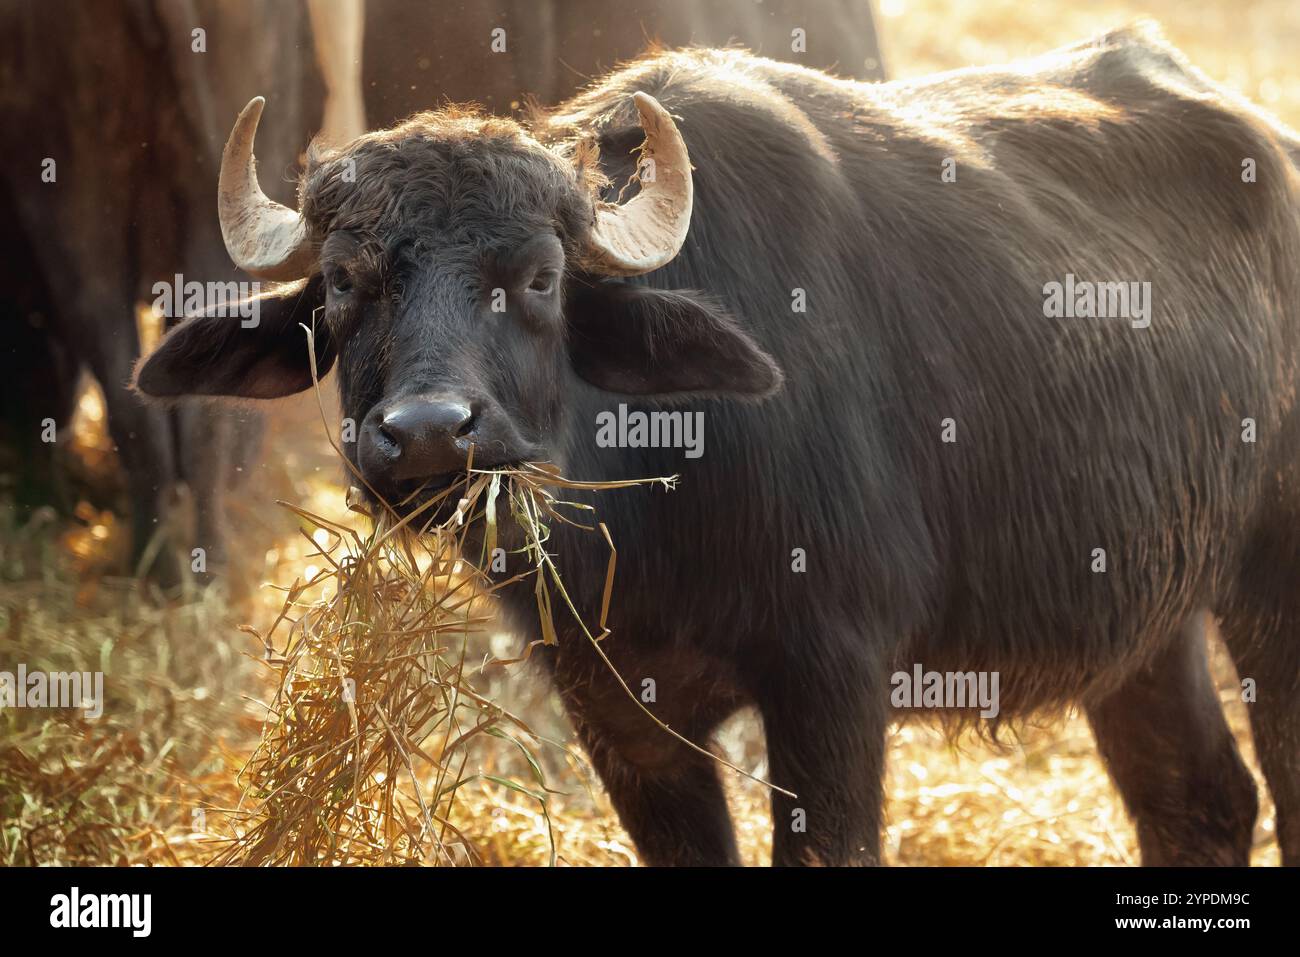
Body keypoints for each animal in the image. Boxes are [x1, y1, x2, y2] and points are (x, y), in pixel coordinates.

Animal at [137, 23, 1299, 865]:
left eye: (539, 280)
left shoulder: (832, 675)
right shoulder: (615, 708)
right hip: (1145, 615)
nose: (427, 433)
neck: (656, 516)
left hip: (1266, 586)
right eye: (344, 283)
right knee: (1199, 800)